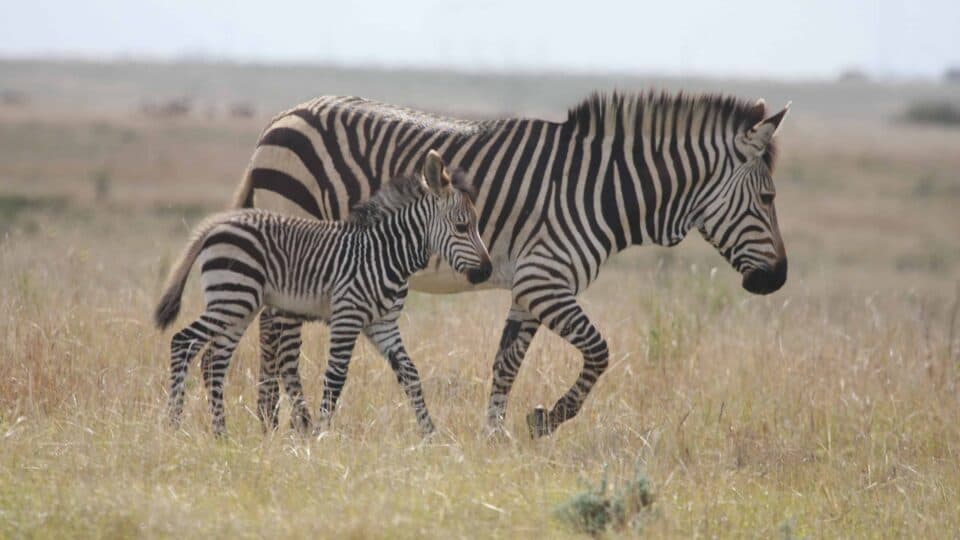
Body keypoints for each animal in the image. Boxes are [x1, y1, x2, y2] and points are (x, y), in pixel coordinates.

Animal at [154, 150, 492, 436]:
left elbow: (410, 374)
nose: (486, 272)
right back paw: (174, 425)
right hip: (232, 299)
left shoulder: (382, 324)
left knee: (214, 361)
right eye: (462, 227)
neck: (386, 255)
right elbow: (336, 377)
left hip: (238, 306)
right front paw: (321, 434)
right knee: (183, 343)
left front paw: (430, 434)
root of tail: (217, 226)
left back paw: (220, 433)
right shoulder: (347, 317)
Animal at [233, 91, 789, 437]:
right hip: (297, 229)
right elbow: (600, 351)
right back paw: (289, 425)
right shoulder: (546, 280)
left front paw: (494, 434)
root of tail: (281, 118)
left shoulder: (532, 285)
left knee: (274, 332)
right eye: (767, 197)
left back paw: (274, 423)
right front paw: (547, 419)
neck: (601, 192)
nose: (779, 279)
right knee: (279, 338)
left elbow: (506, 362)